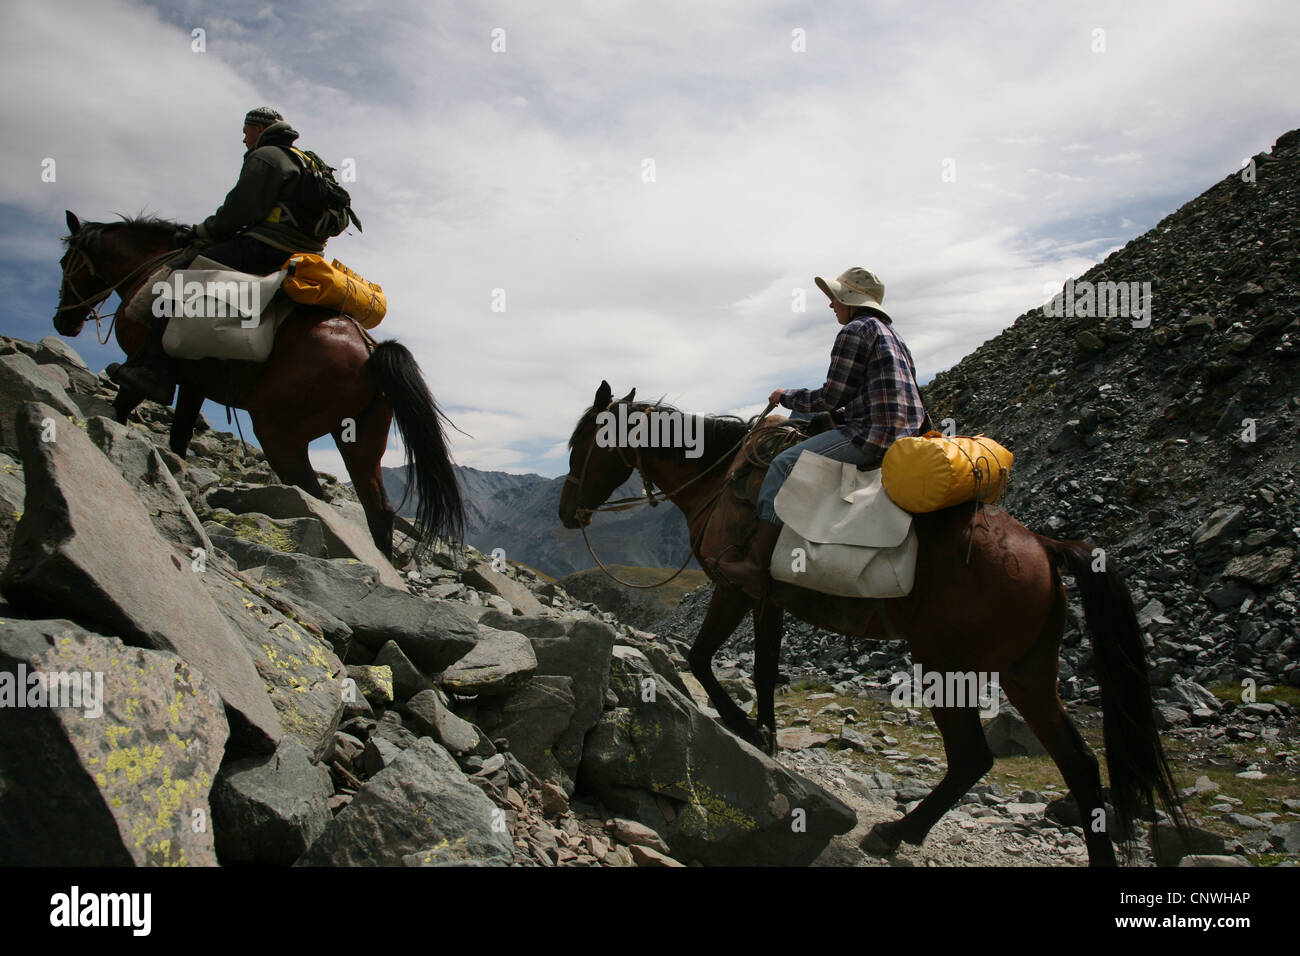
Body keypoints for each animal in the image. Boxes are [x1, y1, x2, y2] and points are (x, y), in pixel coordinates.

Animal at [54, 211, 463, 560]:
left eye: (64, 262)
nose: (63, 322)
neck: (153, 269)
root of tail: (370, 348)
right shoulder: (192, 384)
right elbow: (180, 435)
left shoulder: (140, 362)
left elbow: (125, 402)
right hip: (360, 438)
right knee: (378, 508)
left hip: (278, 432)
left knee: (313, 495)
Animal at [559, 381, 1188, 866]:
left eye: (581, 443)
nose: (567, 513)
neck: (718, 481)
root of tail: (1042, 547)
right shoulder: (768, 600)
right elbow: (763, 668)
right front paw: (766, 733)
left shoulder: (735, 587)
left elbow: (702, 658)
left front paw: (744, 728)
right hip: (1027, 672)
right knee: (1079, 765)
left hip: (946, 664)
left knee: (975, 758)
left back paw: (895, 831)